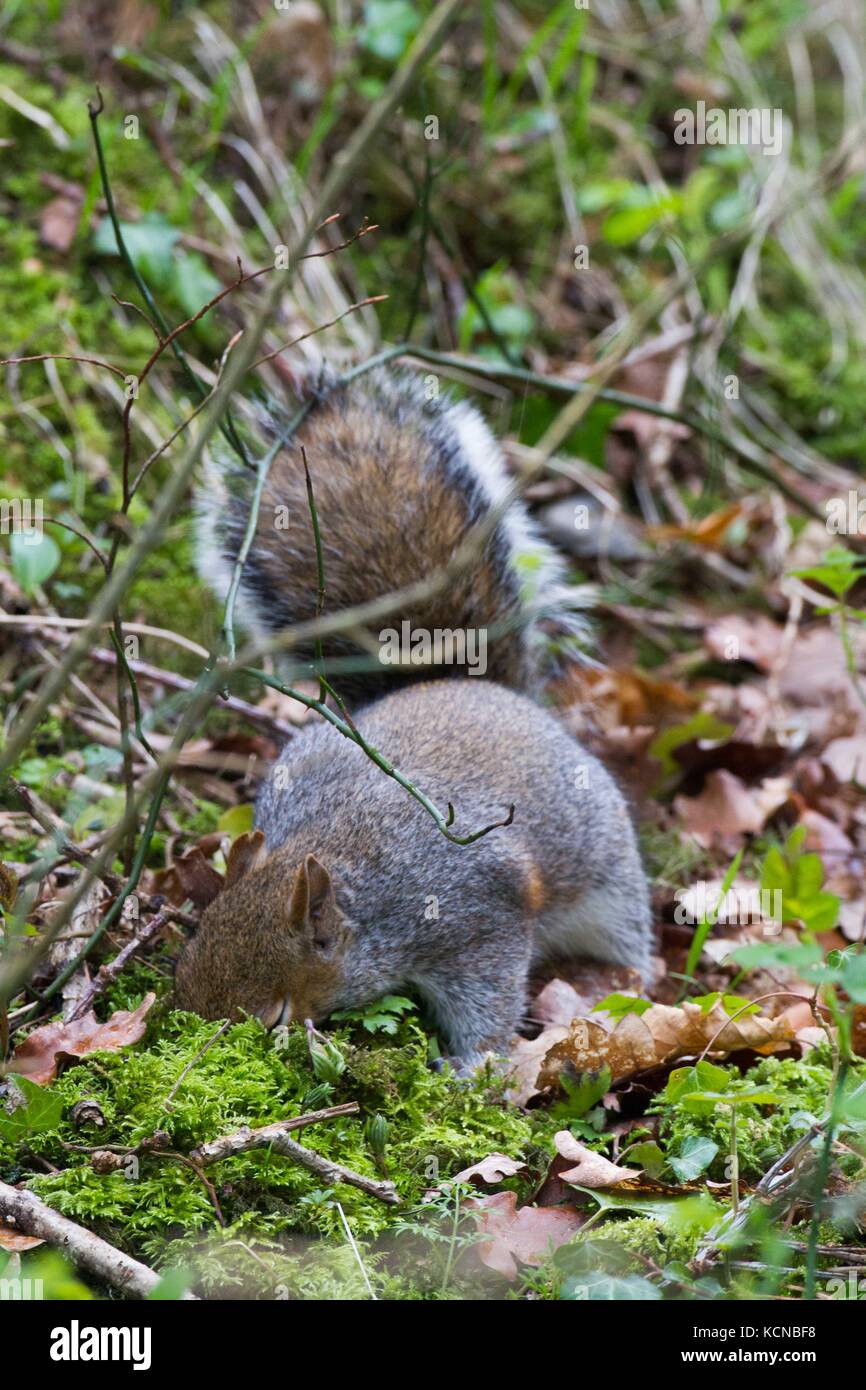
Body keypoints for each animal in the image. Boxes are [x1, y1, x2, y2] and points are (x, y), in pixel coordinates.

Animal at [175, 367, 653, 1066]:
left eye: (275, 1018)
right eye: (183, 968)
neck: (339, 864)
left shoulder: (475, 911)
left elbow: (489, 996)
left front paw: (469, 1065)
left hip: (609, 883)